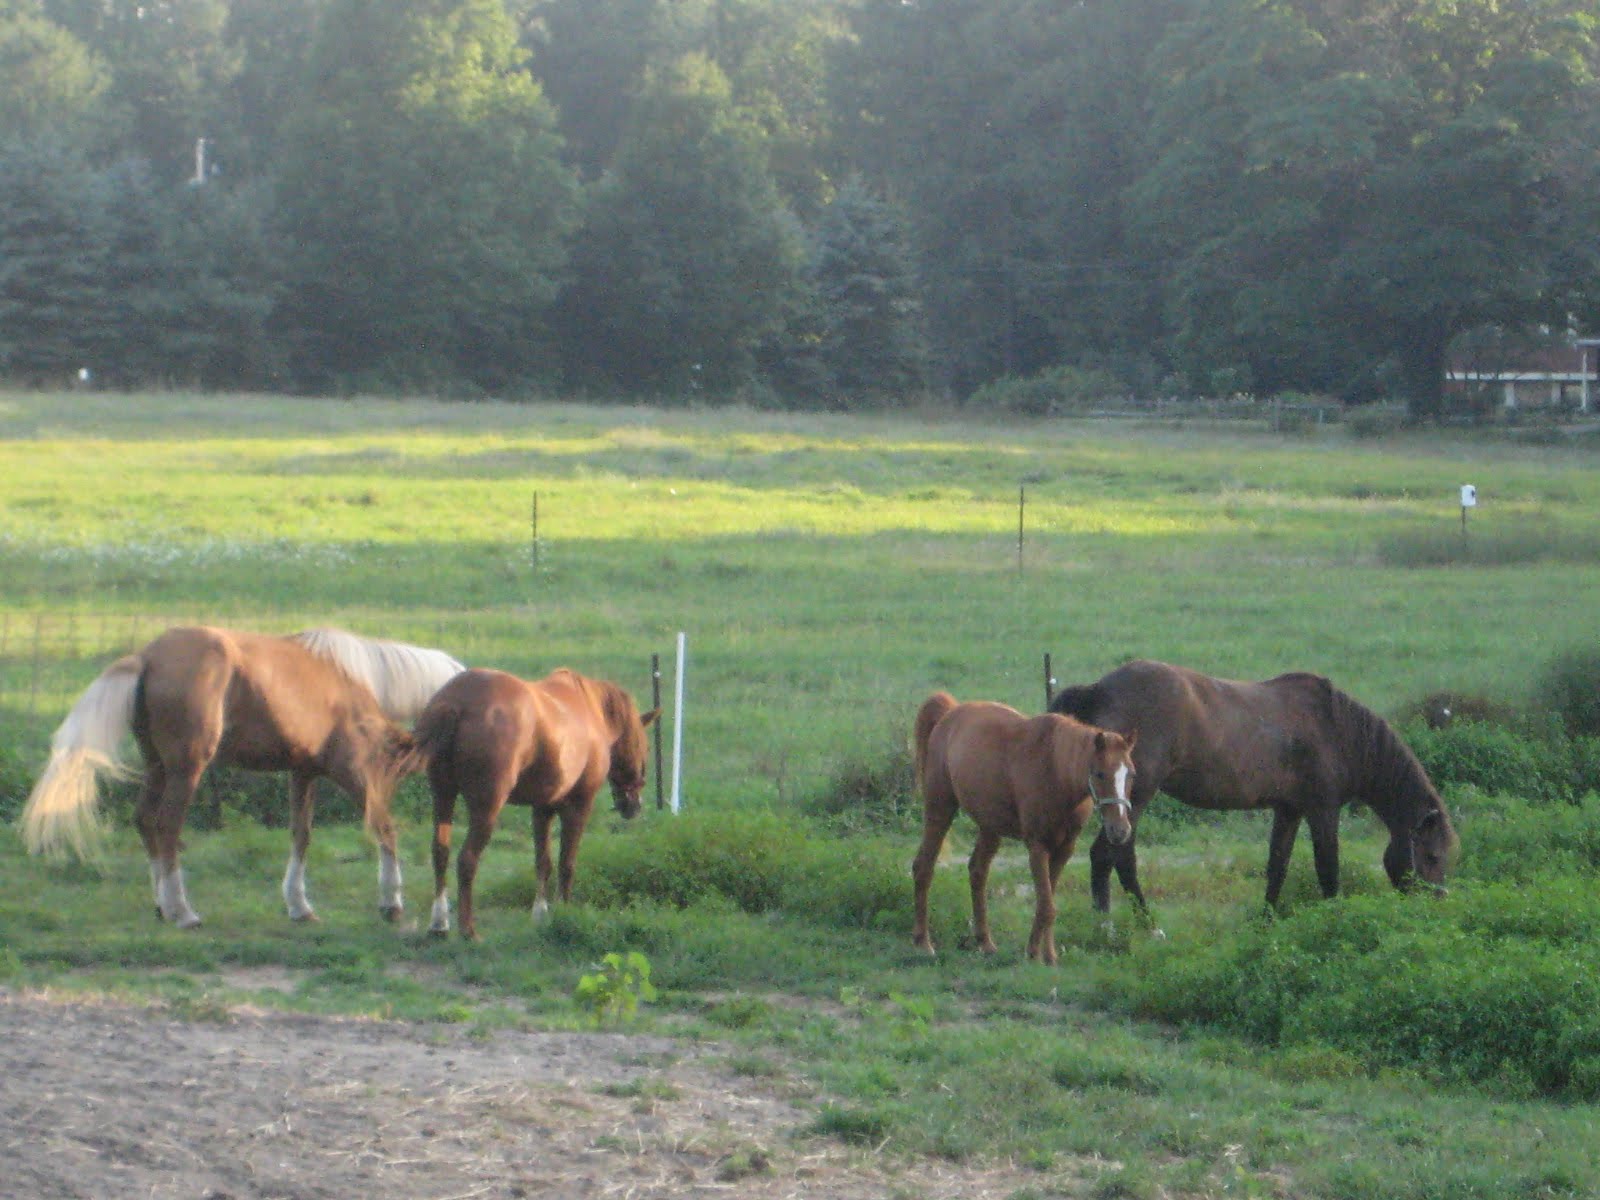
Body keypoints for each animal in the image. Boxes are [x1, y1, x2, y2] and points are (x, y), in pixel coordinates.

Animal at [19, 624, 465, 927]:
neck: (357, 677)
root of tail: (148, 657)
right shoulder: (351, 771)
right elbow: (385, 829)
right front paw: (391, 901)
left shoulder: (303, 773)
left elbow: (301, 836)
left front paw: (298, 905)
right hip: (186, 770)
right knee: (166, 826)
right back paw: (182, 910)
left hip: (157, 766)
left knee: (145, 821)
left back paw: (163, 904)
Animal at [412, 667, 659, 940]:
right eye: (646, 747)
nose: (633, 806)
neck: (590, 709)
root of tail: (457, 699)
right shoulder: (579, 806)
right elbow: (567, 863)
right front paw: (564, 913)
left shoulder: (542, 808)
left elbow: (544, 862)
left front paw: (541, 916)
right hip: (485, 810)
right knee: (466, 859)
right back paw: (468, 930)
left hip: (443, 796)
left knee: (440, 852)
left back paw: (439, 924)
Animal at [910, 692, 1138, 964]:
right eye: (1100, 774)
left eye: (1131, 774)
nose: (1120, 830)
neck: (1055, 769)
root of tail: (950, 713)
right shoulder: (1037, 846)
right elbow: (1047, 906)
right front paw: (1036, 955)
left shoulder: (1064, 849)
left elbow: (1047, 901)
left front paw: (1046, 954)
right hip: (940, 810)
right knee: (923, 867)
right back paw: (923, 943)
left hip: (990, 827)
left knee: (977, 872)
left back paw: (985, 942)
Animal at [1048, 659, 1458, 914]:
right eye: (1432, 856)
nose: (1438, 903)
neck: (1336, 729)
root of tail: (1098, 689)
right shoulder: (1323, 810)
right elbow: (1328, 870)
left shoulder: (1289, 810)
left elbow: (1277, 866)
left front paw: (1265, 920)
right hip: (1136, 796)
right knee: (1112, 856)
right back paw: (1135, 927)